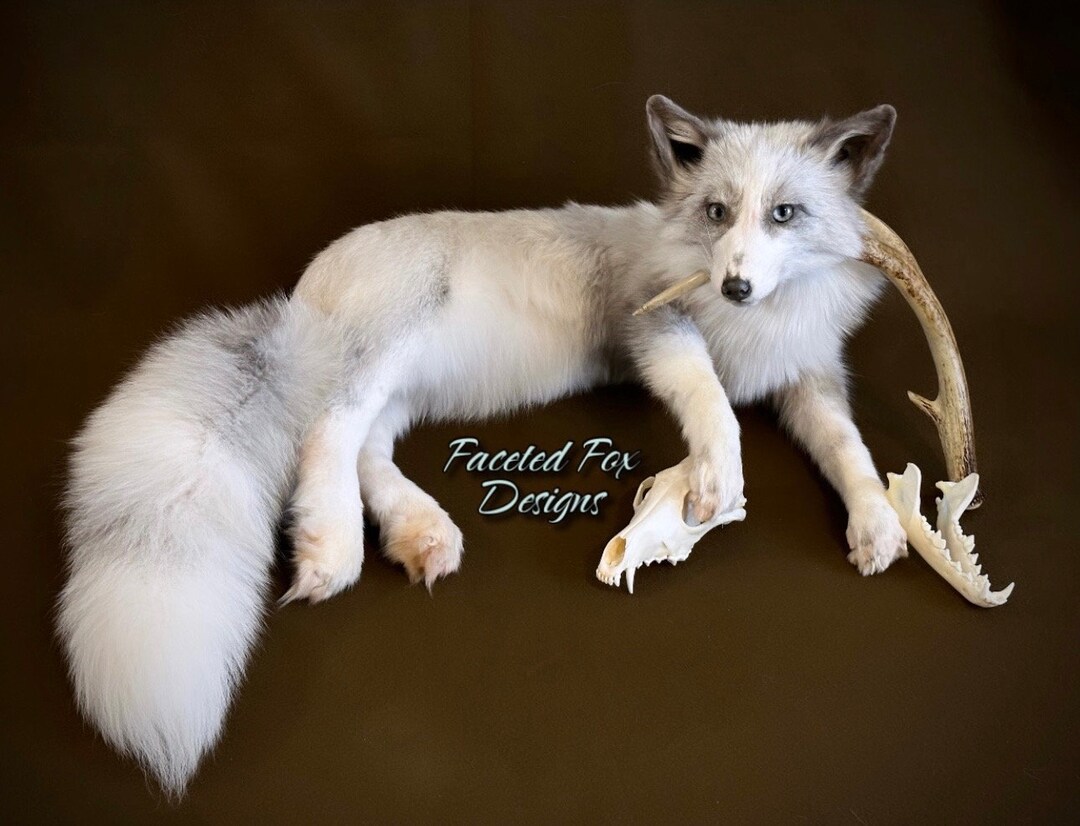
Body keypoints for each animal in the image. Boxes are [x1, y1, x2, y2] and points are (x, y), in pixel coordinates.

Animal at [58, 95, 908, 795]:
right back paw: (333, 544)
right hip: (390, 346)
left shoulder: (809, 374)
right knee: (326, 430)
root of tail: (303, 291)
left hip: (415, 390)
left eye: (785, 213)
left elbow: (851, 451)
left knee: (366, 448)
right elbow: (711, 401)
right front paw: (719, 480)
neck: (753, 329)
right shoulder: (654, 323)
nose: (734, 286)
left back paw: (419, 530)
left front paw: (877, 523)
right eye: (717, 211)